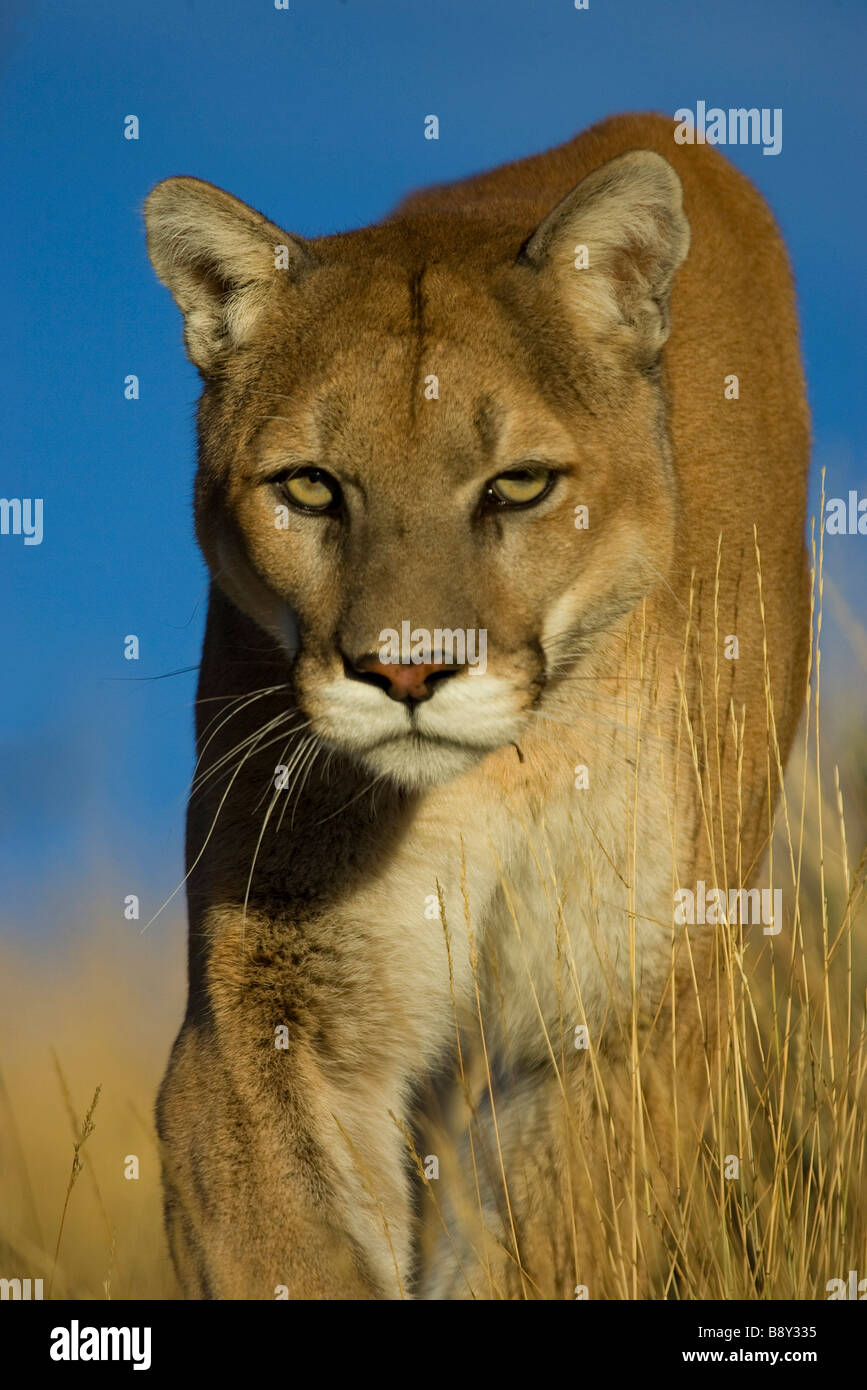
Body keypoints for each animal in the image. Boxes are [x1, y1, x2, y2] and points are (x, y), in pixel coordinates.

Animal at [144, 111, 810, 1299]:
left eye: (519, 485)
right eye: (309, 485)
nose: (408, 671)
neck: (500, 780)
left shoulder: (624, 1015)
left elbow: (545, 1243)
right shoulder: (271, 1013)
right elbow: (297, 1247)